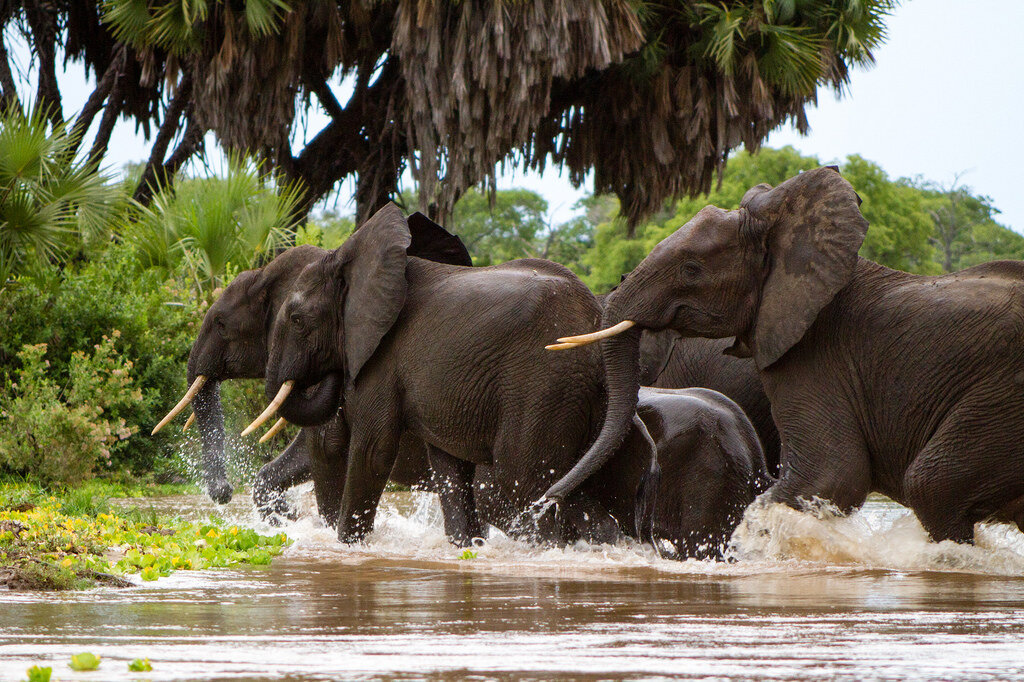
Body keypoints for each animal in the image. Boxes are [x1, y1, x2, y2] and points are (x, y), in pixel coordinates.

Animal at [542, 165, 1024, 545]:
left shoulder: (814, 353)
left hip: (1001, 397)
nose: (546, 500)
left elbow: (830, 478)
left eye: (691, 270)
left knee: (931, 485)